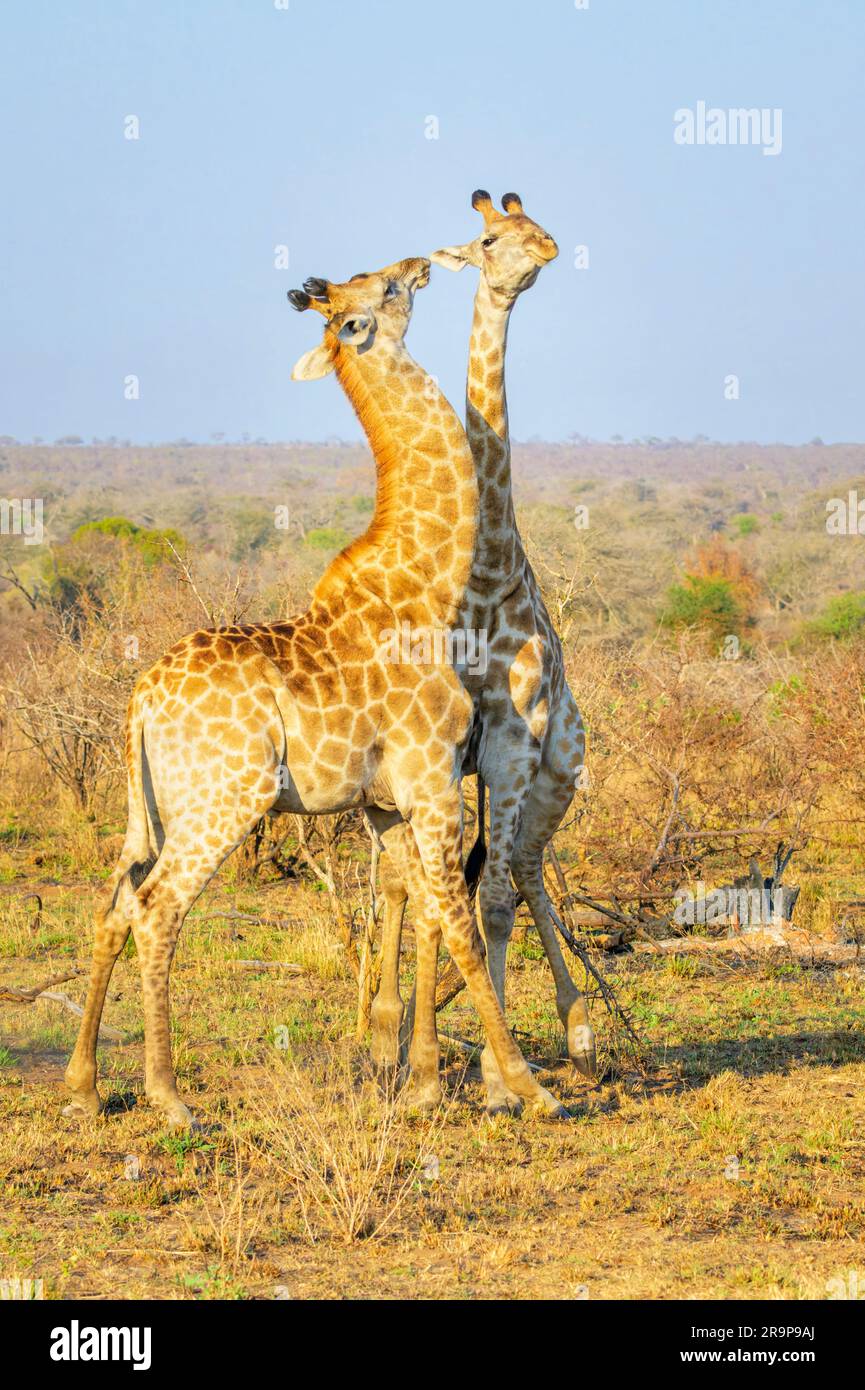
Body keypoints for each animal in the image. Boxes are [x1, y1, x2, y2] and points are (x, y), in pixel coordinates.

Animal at [63, 254, 567, 1128]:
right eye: (385, 289)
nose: (420, 264)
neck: (424, 585)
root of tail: (139, 702)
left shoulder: (389, 802)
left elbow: (429, 913)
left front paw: (420, 1082)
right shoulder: (433, 780)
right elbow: (463, 924)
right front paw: (527, 1087)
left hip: (148, 807)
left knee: (114, 901)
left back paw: (86, 1086)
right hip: (224, 799)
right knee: (158, 908)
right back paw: (169, 1097)